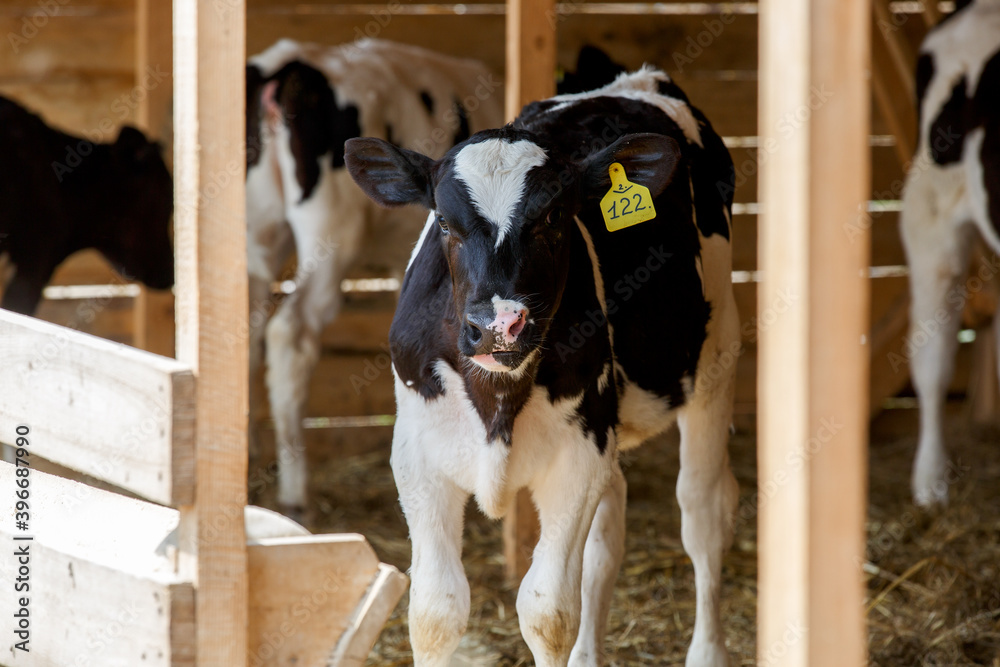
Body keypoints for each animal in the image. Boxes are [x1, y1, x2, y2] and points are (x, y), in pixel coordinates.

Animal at [244, 38, 504, 516]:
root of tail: (286, 63)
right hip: (332, 235)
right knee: (290, 333)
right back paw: (295, 493)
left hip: (259, 234)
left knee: (247, 336)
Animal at [345, 66, 739, 666]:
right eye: (444, 222)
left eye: (555, 217)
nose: (499, 325)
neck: (498, 400)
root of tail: (637, 79)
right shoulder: (417, 454)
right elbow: (435, 611)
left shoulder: (579, 455)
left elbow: (548, 612)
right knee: (607, 537)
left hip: (715, 365)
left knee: (702, 516)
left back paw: (707, 648)